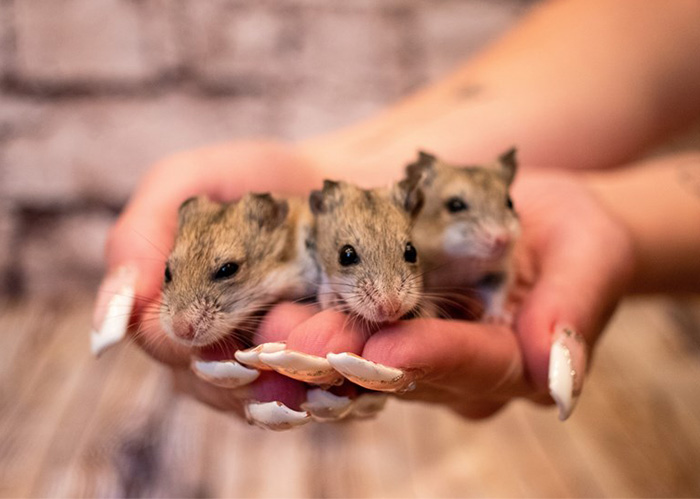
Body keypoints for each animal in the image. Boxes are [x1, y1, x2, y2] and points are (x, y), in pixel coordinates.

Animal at [405, 149, 520, 322]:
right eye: (455, 205)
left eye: (510, 202)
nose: (503, 240)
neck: (462, 260)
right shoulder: (425, 282)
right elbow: (428, 303)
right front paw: (428, 318)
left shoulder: (497, 273)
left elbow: (496, 295)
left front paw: (496, 319)